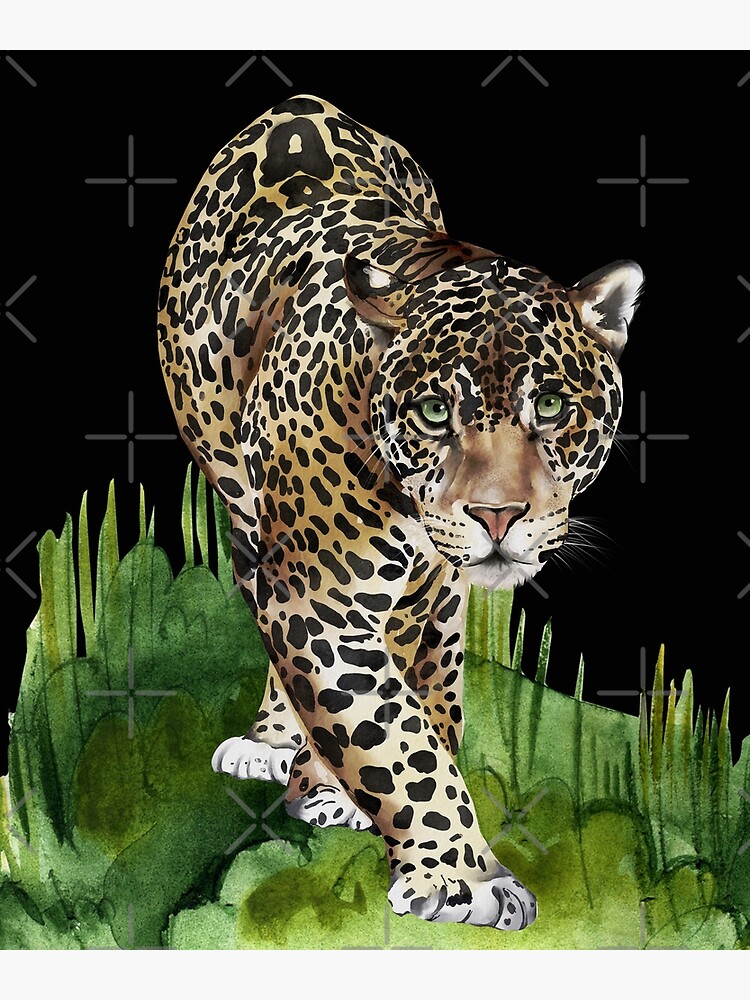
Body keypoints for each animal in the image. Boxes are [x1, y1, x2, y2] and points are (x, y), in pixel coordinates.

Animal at [157, 94, 643, 931]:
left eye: (550, 406)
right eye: (432, 412)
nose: (497, 517)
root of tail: (298, 103)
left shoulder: (424, 596)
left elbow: (411, 713)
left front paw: (362, 802)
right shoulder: (315, 599)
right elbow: (396, 742)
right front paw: (462, 879)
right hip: (240, 495)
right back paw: (273, 745)